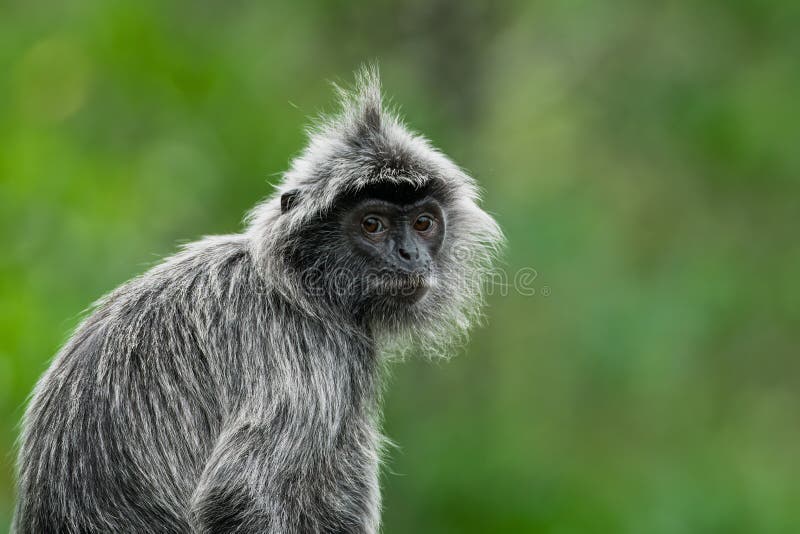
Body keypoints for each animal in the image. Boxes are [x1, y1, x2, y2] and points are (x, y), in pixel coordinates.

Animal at [13, 67, 502, 533]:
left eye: (423, 223)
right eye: (373, 226)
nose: (410, 255)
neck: (298, 285)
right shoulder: (309, 351)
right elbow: (237, 492)